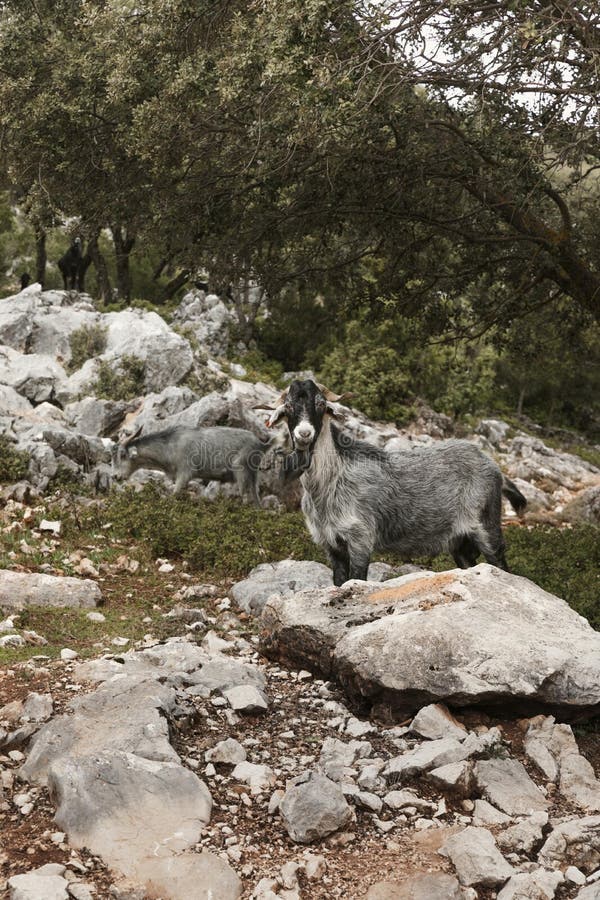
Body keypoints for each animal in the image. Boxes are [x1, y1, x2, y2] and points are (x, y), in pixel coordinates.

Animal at [112, 424, 277, 504]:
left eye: (122, 455)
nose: (115, 477)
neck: (170, 446)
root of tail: (261, 444)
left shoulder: (184, 473)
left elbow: (175, 494)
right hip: (253, 475)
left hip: (241, 472)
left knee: (245, 498)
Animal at [261, 379, 526, 586]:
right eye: (288, 406)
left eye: (321, 404)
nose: (304, 434)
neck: (331, 480)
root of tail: (494, 468)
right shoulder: (331, 545)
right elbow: (339, 582)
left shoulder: (360, 539)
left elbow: (355, 580)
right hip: (458, 542)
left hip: (487, 525)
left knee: (501, 564)